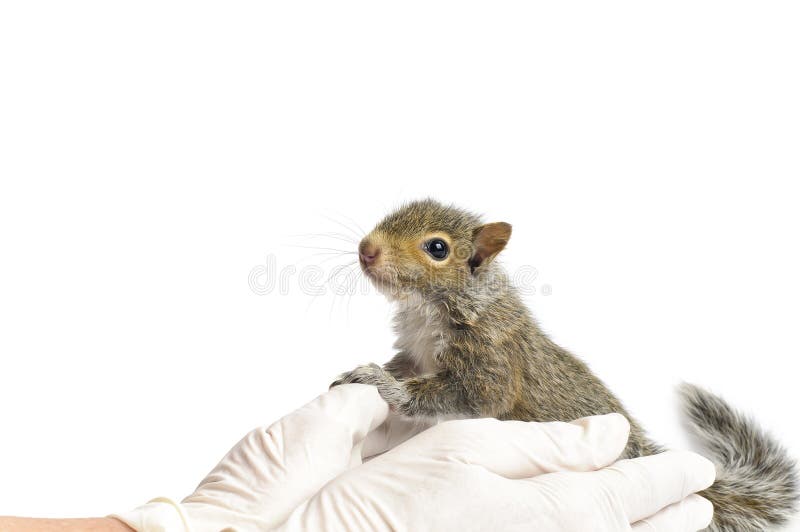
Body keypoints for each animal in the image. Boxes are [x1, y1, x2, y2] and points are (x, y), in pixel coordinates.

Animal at [330, 199, 798, 531]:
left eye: (437, 248)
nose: (366, 250)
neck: (427, 311)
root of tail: (639, 451)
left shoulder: (491, 359)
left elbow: (473, 395)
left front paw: (384, 384)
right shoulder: (414, 350)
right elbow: (405, 364)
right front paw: (366, 373)